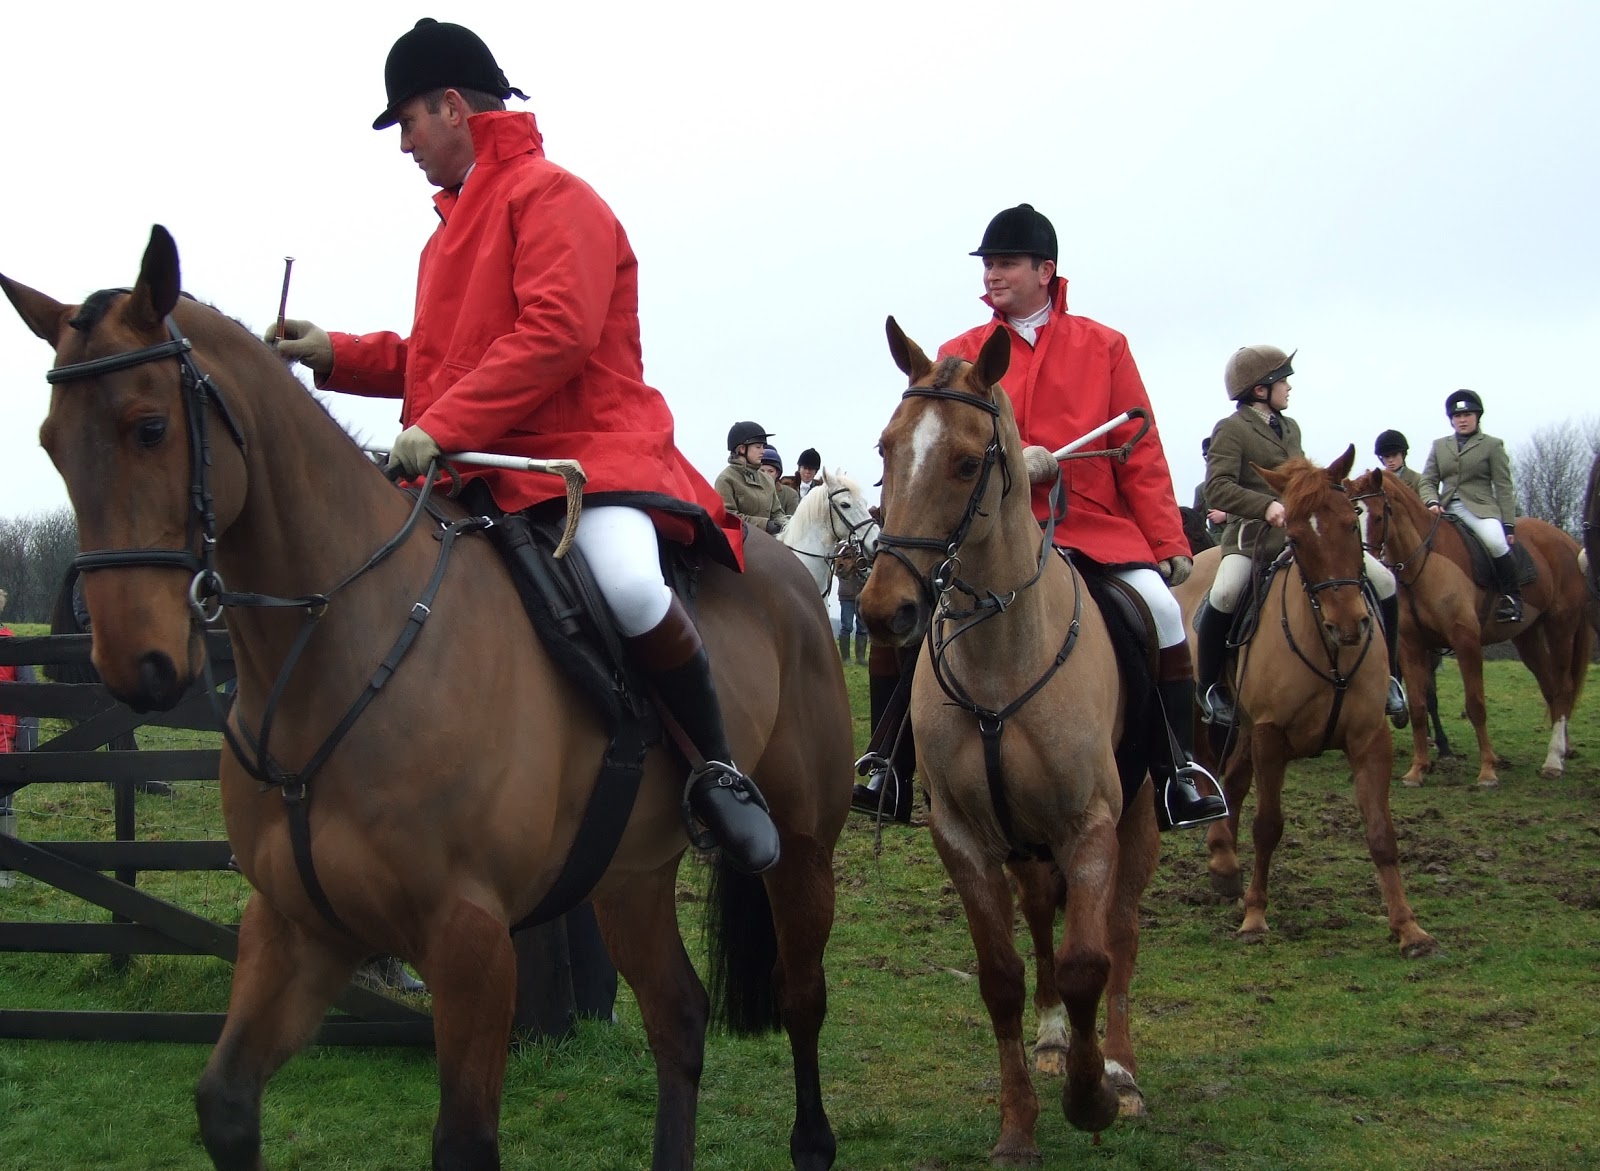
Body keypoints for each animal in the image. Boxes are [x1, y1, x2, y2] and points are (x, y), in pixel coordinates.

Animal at [1, 226, 853, 1171]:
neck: (346, 647)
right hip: (627, 873)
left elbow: (464, 1140)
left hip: (802, 846)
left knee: (801, 993)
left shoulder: (470, 939)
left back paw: (813, 1138)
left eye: (148, 427)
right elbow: (224, 1101)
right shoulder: (296, 925)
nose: (134, 665)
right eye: (49, 443)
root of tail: (787, 572)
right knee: (680, 1017)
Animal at [858, 318, 1159, 1164]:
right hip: (1023, 839)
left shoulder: (1090, 824)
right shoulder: (962, 836)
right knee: (1039, 916)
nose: (885, 609)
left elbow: (1091, 960)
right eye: (886, 447)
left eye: (967, 461)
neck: (1000, 661)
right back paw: (1058, 1038)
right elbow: (1001, 974)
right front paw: (1019, 1123)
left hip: (1139, 818)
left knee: (1119, 935)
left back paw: (1120, 1070)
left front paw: (1091, 1097)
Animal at [1172, 450, 1435, 957]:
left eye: (1352, 523)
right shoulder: (1271, 736)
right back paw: (1224, 861)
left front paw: (1409, 929)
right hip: (1211, 718)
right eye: (1293, 537)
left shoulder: (1369, 738)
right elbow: (1268, 826)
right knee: (1217, 777)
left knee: (1234, 782)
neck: (1328, 650)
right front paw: (1255, 918)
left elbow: (1381, 832)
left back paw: (1225, 866)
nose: (1349, 625)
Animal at [1348, 467, 1590, 785]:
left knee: (1563, 688)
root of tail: (1567, 541)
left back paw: (1553, 760)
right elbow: (1419, 706)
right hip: (1528, 637)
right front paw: (1417, 770)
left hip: (1560, 628)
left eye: (1377, 517)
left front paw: (1487, 771)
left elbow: (1475, 705)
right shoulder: (1412, 646)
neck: (1423, 563)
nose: (1364, 571)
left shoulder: (1466, 641)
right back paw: (1563, 750)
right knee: (1550, 687)